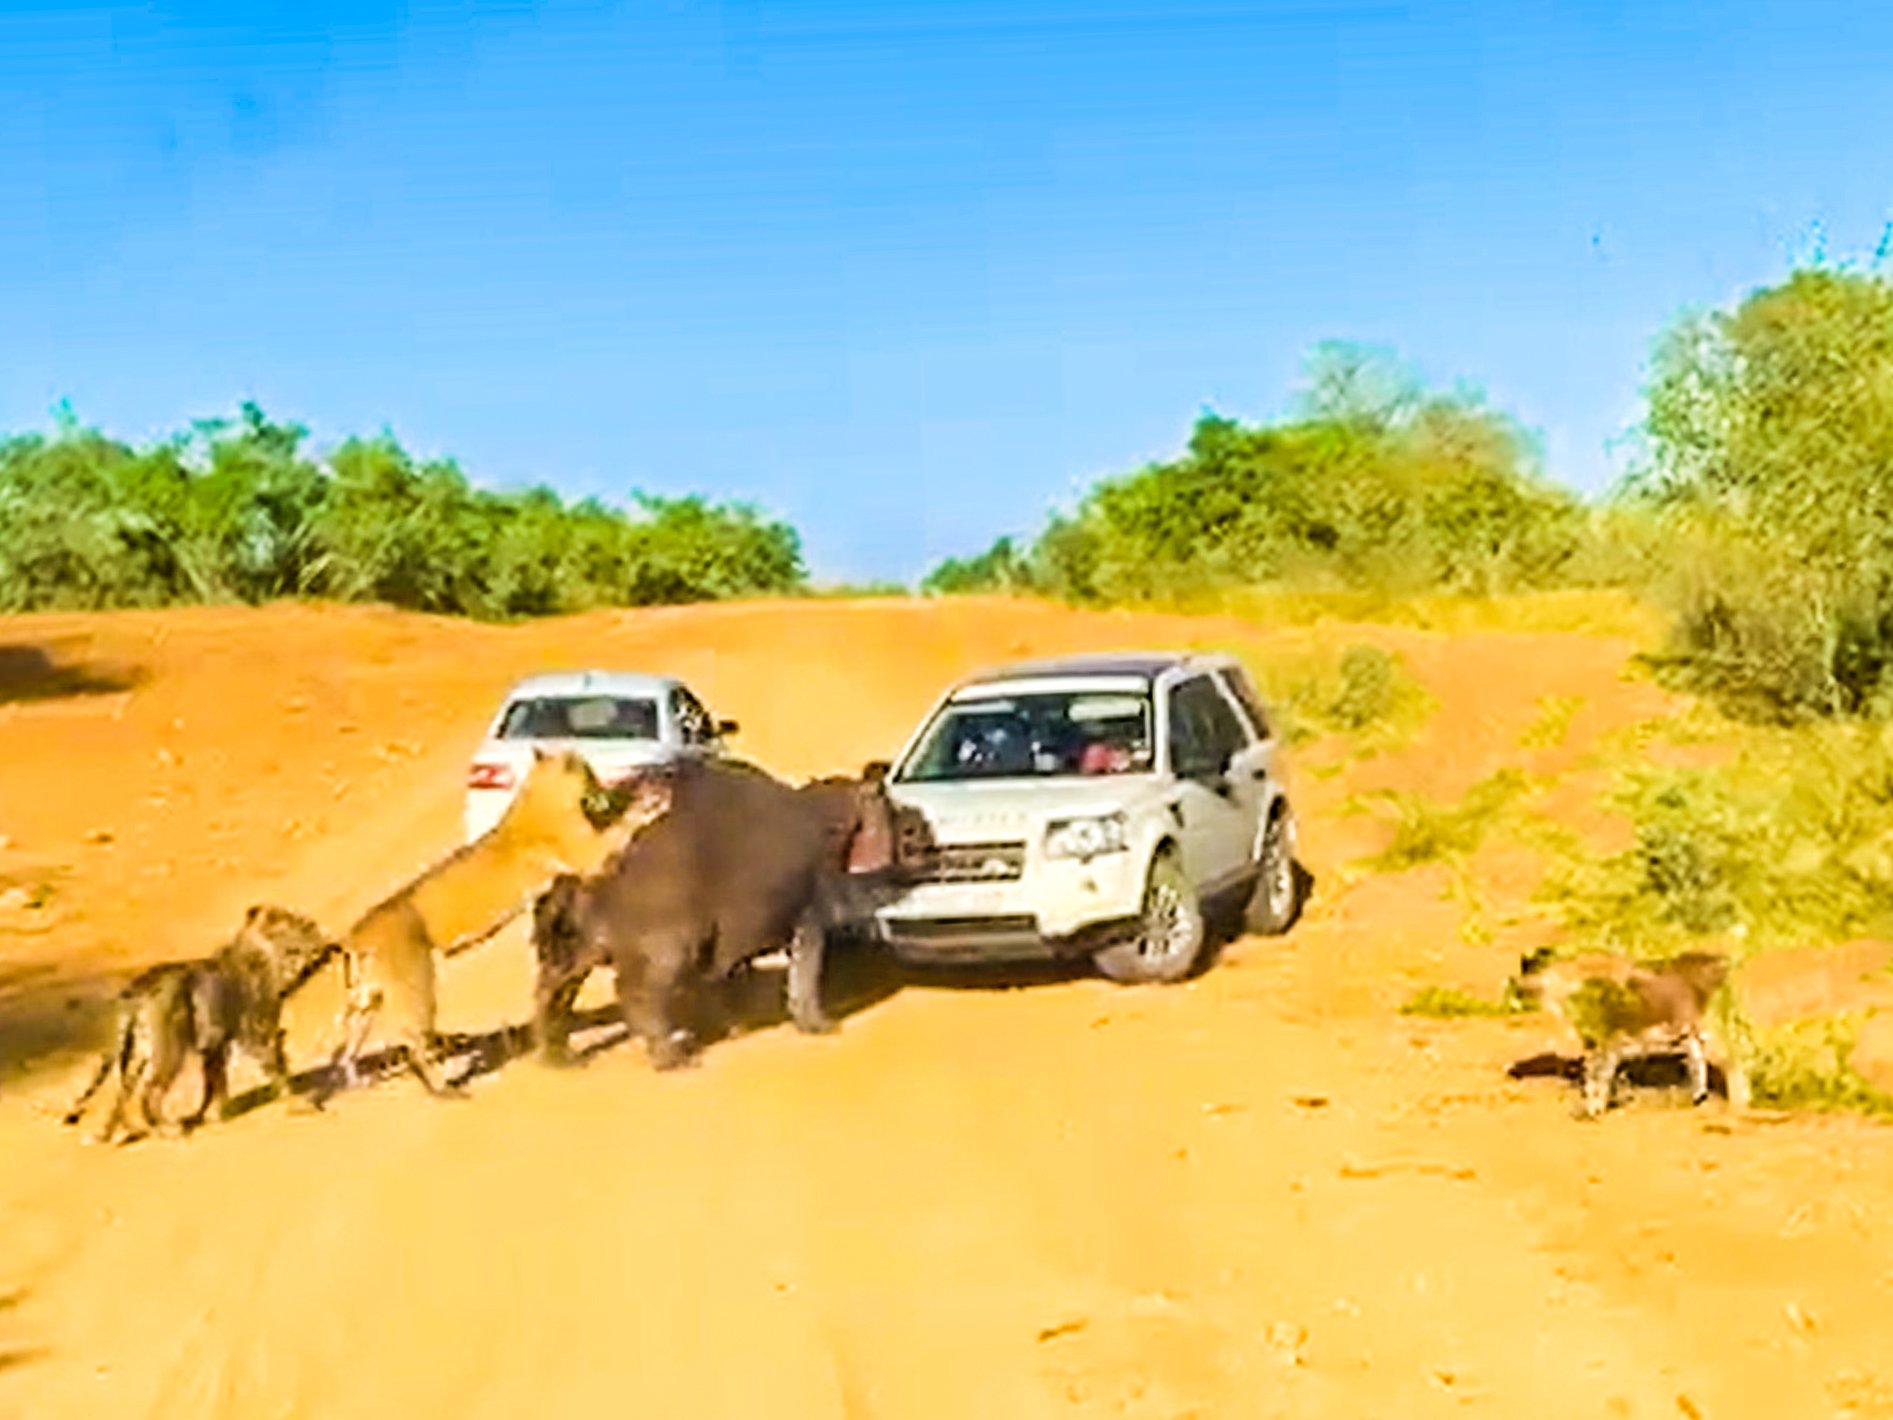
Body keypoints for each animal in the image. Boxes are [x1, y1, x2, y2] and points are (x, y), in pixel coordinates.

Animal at [63, 903, 337, 1144]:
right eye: (305, 924)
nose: (323, 934)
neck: (264, 956)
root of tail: (137, 988)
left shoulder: (215, 1045)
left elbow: (213, 1083)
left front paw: (214, 1114)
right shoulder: (253, 1036)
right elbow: (276, 1070)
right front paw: (301, 1104)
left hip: (138, 1053)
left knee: (123, 1094)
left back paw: (109, 1134)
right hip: (169, 1051)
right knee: (149, 1093)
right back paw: (168, 1130)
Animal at [307, 749, 672, 1105]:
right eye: (588, 771)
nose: (601, 785)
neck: (541, 796)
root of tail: (356, 933)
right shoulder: (588, 858)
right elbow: (622, 829)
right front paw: (654, 804)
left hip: (366, 993)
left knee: (347, 1040)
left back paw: (353, 1081)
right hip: (414, 983)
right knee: (412, 1043)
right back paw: (443, 1090)